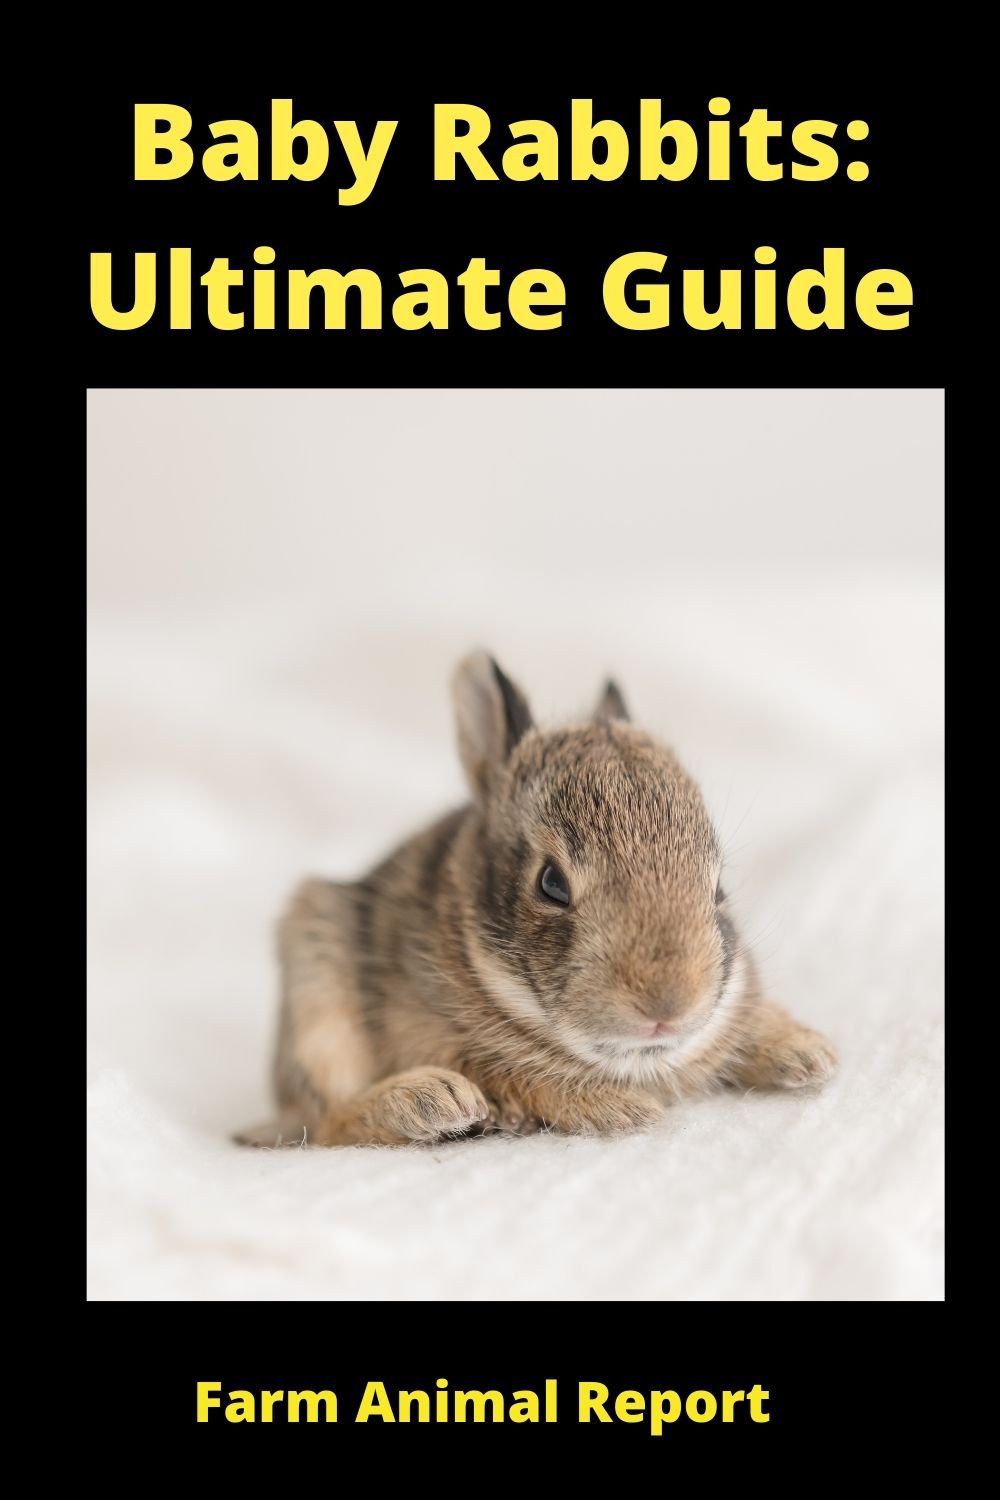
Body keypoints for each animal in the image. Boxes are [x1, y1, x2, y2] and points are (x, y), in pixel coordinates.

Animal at [237, 652, 837, 1147]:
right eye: (551, 883)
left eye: (719, 887)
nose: (667, 1007)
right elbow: (533, 1081)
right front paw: (625, 1110)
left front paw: (809, 1054)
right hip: (315, 973)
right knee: (328, 1121)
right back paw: (431, 1103)